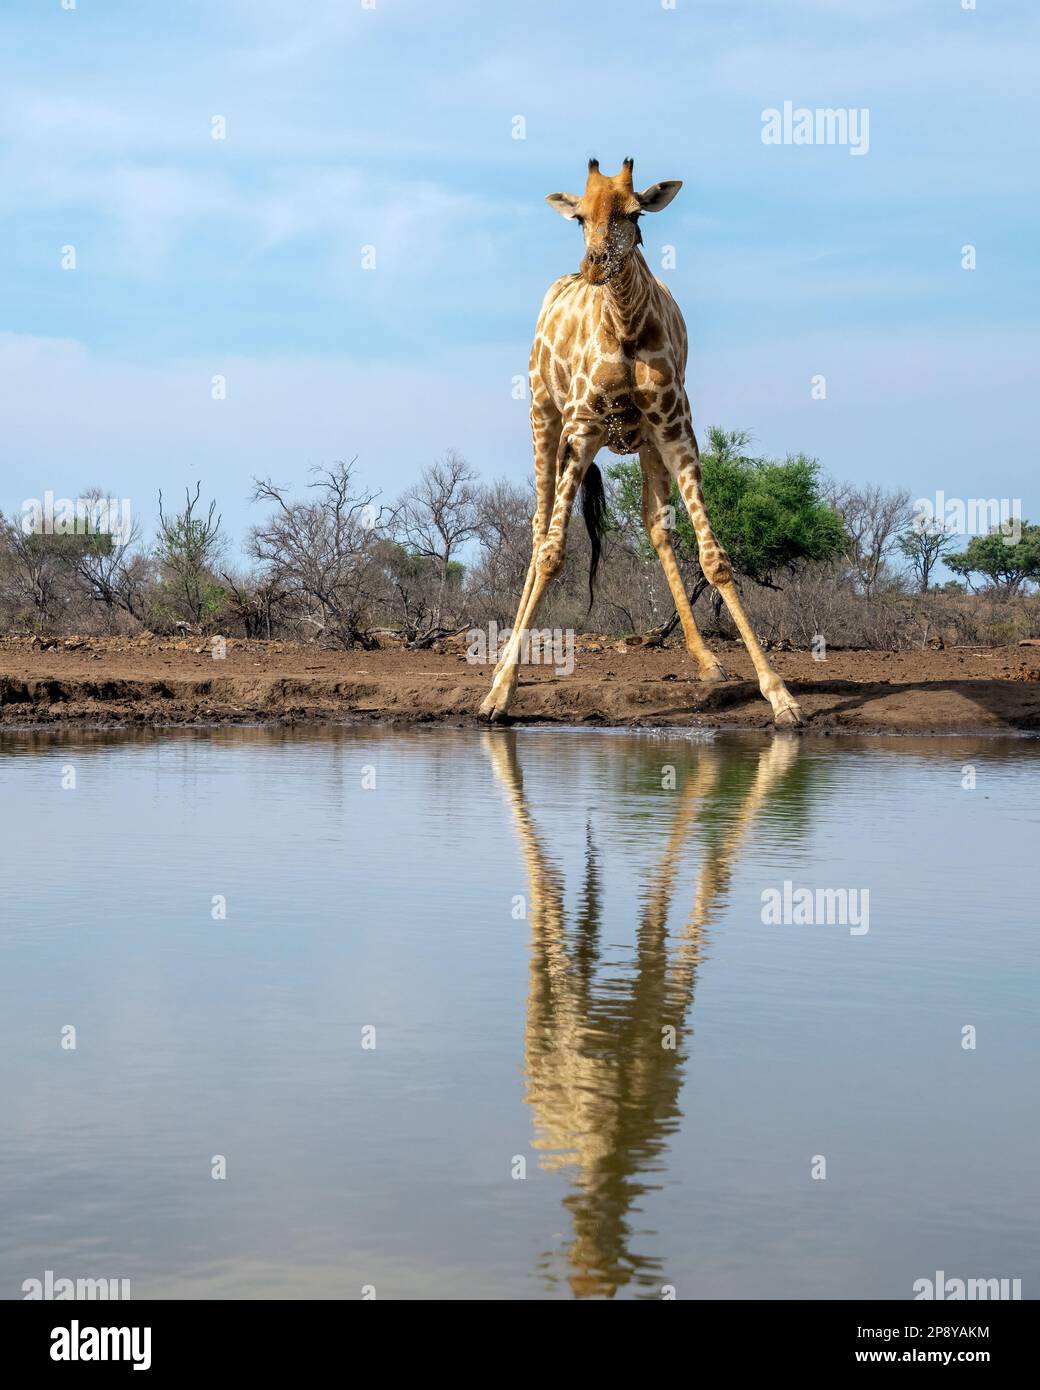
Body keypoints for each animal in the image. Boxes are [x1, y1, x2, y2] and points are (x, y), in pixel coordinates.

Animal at [480, 158, 803, 727]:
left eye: (634, 214)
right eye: (579, 217)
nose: (594, 266)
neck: (626, 326)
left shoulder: (676, 429)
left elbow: (714, 558)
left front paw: (779, 693)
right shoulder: (583, 428)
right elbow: (552, 553)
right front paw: (499, 694)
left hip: (645, 443)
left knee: (656, 527)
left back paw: (707, 661)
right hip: (543, 417)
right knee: (540, 528)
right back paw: (500, 666)